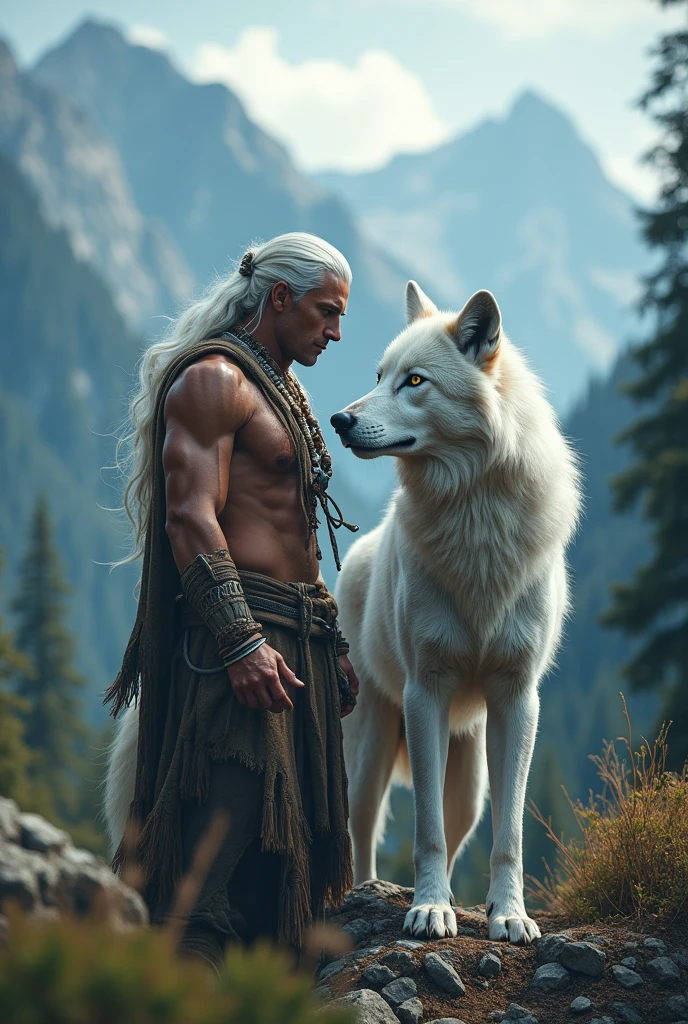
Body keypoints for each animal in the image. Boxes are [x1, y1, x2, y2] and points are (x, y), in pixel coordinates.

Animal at [330, 282, 581, 943]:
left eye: (414, 382)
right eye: (379, 376)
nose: (339, 419)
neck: (476, 521)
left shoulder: (518, 699)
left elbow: (509, 834)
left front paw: (510, 915)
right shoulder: (426, 692)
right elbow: (425, 833)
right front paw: (429, 909)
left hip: (469, 781)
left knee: (461, 821)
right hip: (368, 746)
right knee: (361, 830)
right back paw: (365, 892)